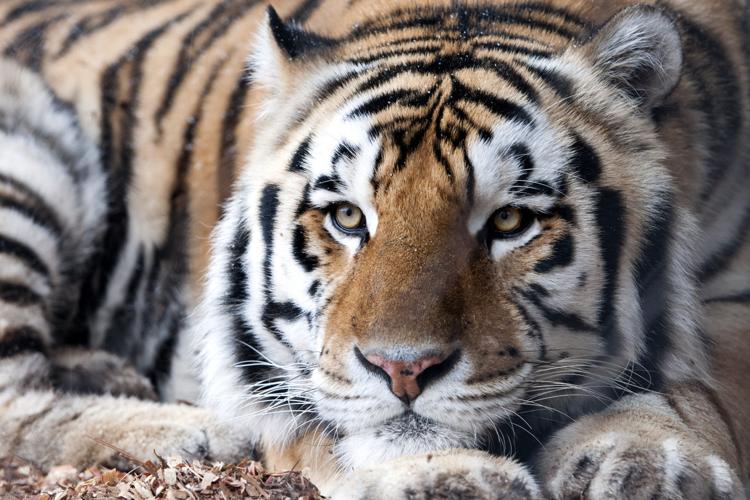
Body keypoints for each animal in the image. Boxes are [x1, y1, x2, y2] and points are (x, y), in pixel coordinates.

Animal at [0, 0, 748, 497]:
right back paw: (188, 431)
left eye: (508, 221)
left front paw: (650, 458)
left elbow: (694, 390)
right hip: (28, 164)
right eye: (347, 217)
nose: (403, 371)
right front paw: (450, 477)